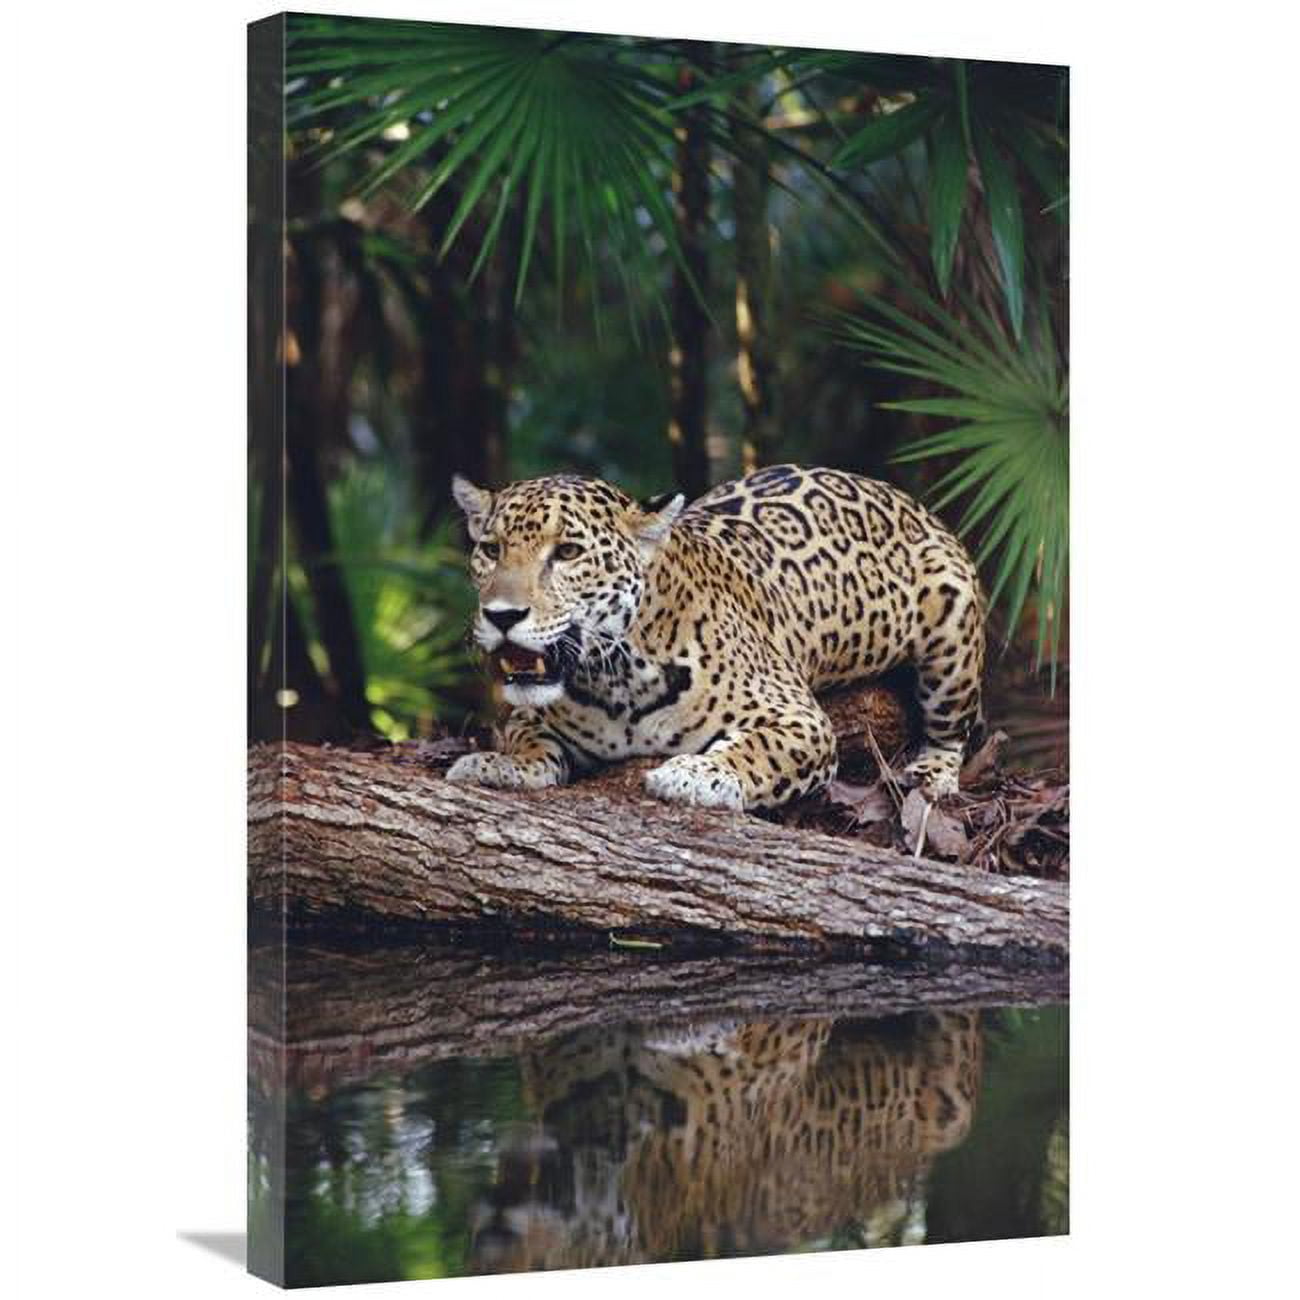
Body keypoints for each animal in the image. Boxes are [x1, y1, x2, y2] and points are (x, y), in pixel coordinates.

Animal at [445, 463, 986, 811]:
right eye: (491, 550)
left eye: (568, 552)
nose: (501, 615)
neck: (614, 682)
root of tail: (909, 501)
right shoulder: (529, 714)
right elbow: (527, 738)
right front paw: (501, 765)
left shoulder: (800, 719)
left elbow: (757, 749)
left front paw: (693, 773)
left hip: (951, 631)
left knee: (950, 731)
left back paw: (930, 776)